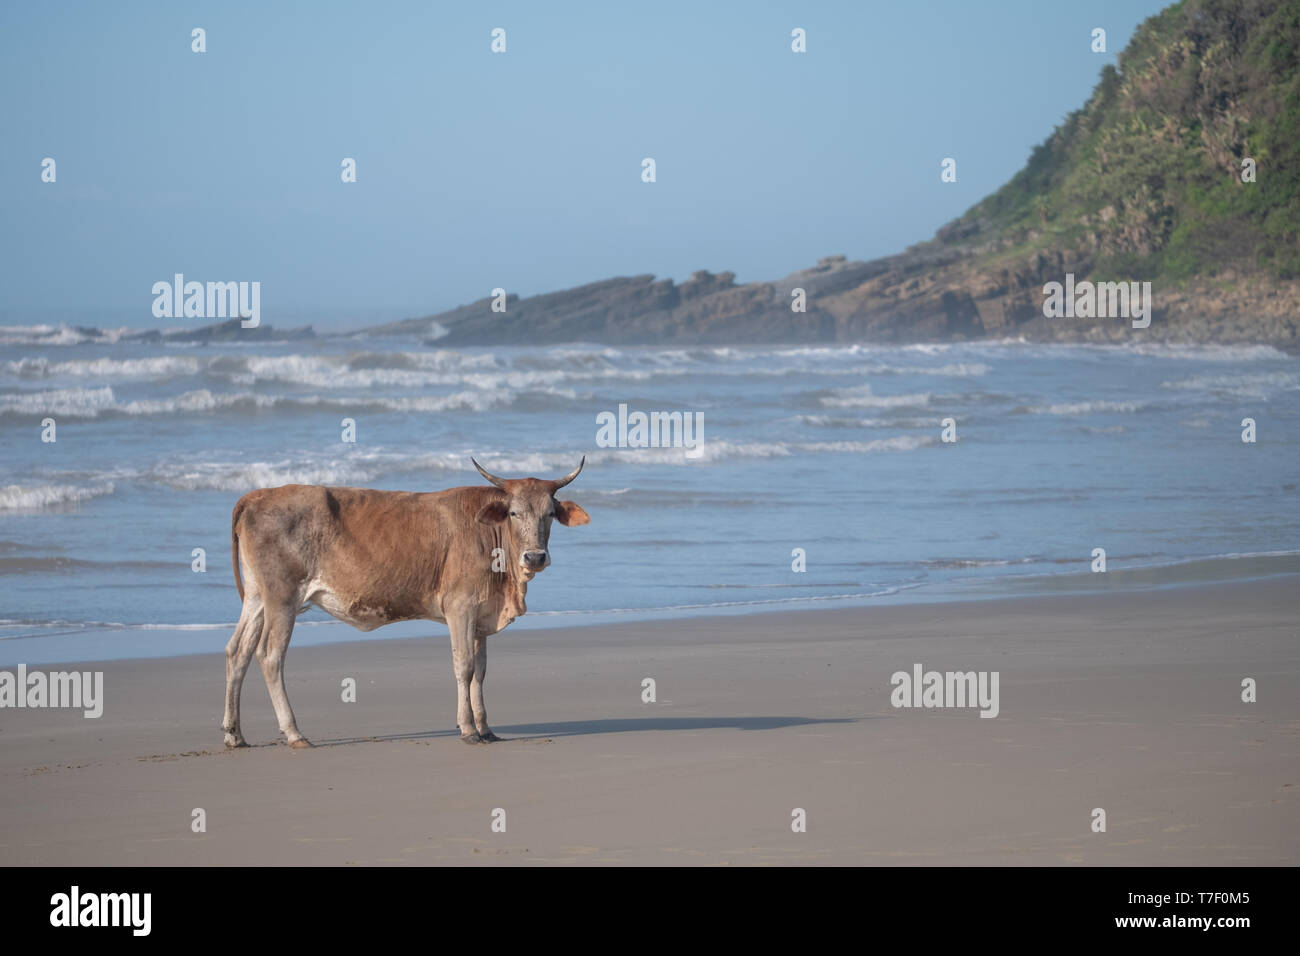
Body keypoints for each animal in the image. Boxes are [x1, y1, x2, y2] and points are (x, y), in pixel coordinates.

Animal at [221, 457, 589, 749]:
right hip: (282, 598)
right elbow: (464, 666)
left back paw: (234, 734)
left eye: (550, 514)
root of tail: (258, 495)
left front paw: (486, 728)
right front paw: (469, 729)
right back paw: (294, 732)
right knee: (270, 656)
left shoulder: (481, 613)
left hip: (257, 597)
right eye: (513, 512)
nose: (535, 556)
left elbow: (481, 672)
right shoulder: (460, 606)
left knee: (237, 651)